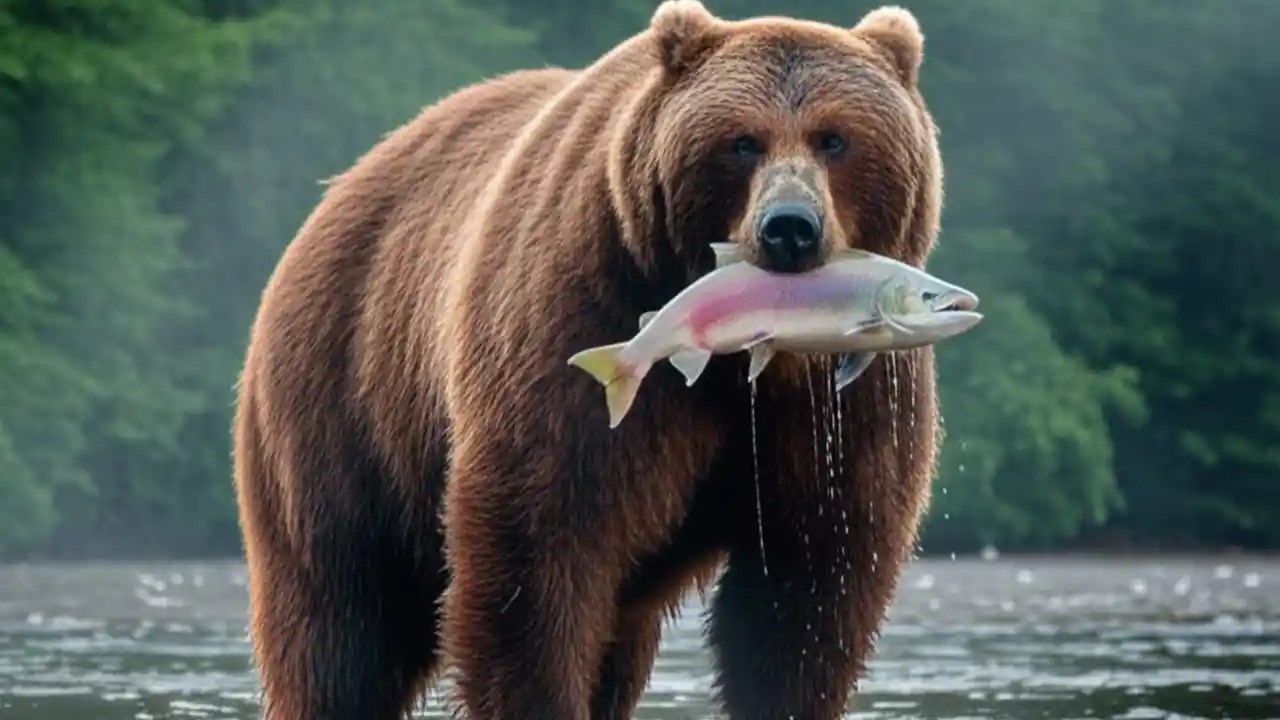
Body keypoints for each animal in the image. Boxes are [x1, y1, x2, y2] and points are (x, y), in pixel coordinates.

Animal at [231, 2, 944, 719]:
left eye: (834, 139)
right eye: (742, 141)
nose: (789, 227)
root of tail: (341, 188)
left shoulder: (843, 405)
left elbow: (812, 583)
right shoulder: (576, 315)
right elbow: (538, 551)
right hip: (341, 400)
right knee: (341, 620)